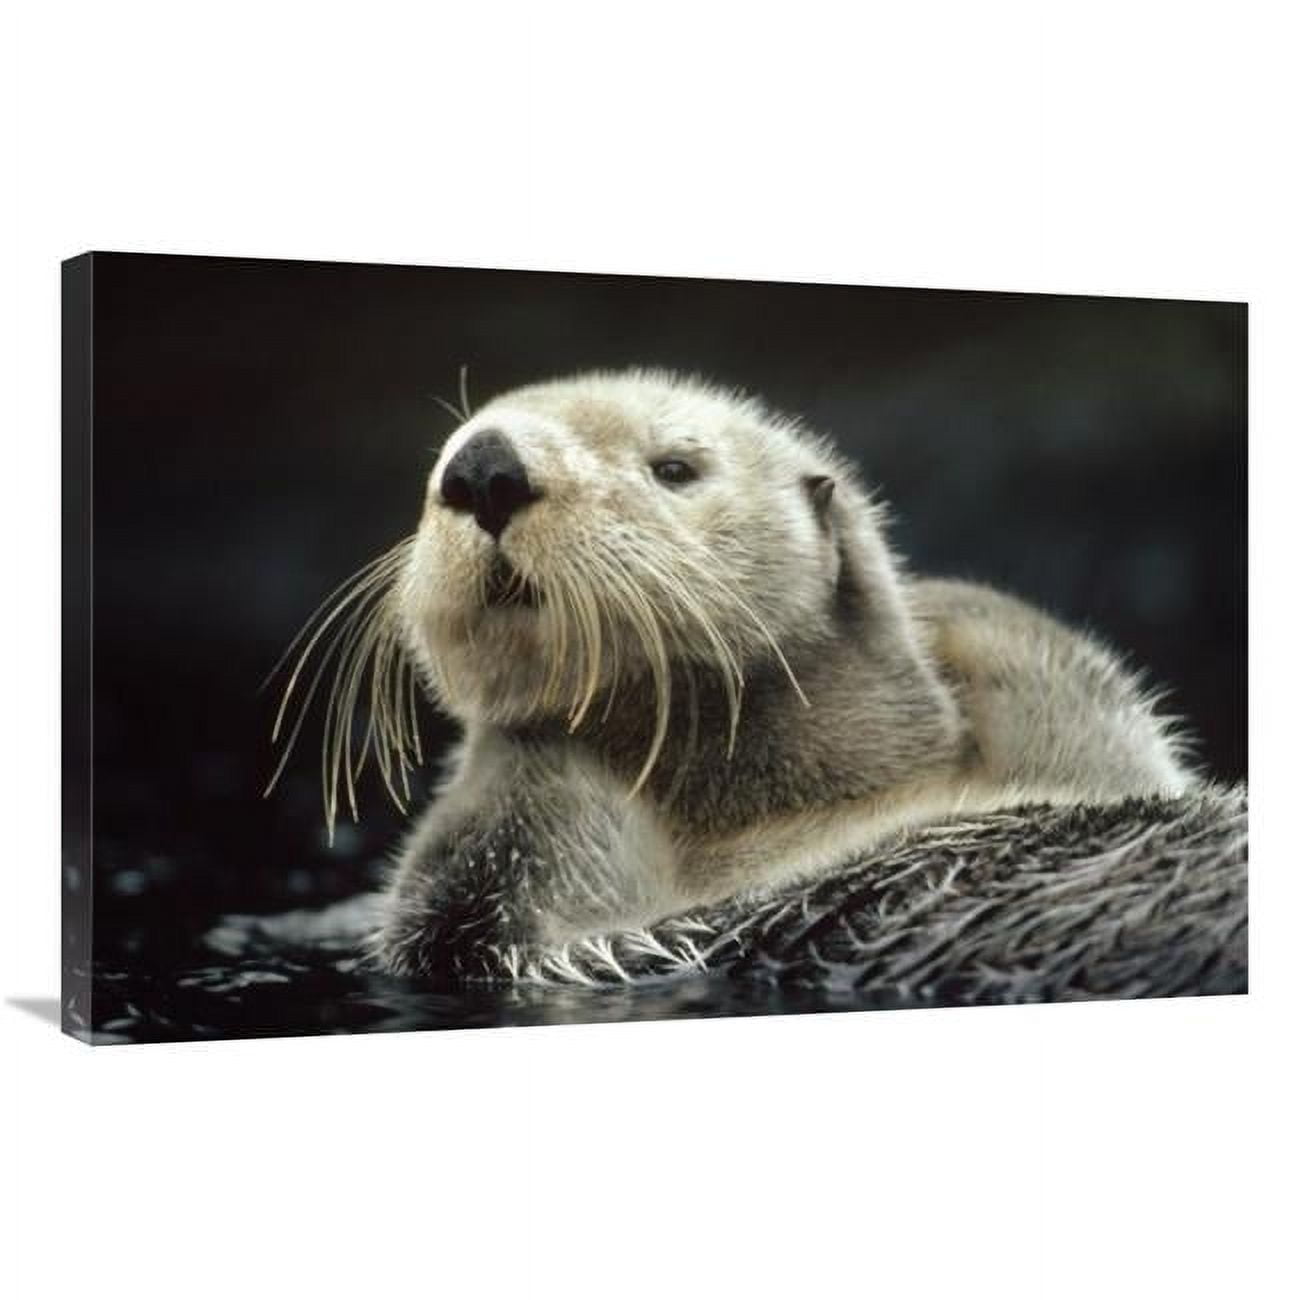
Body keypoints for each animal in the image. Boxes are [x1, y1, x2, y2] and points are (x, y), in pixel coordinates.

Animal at [269, 369, 1195, 980]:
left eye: (675, 467)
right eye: (446, 454)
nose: (481, 466)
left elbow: (1092, 702)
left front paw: (949, 608)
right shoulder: (510, 923)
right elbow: (478, 868)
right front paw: (523, 746)